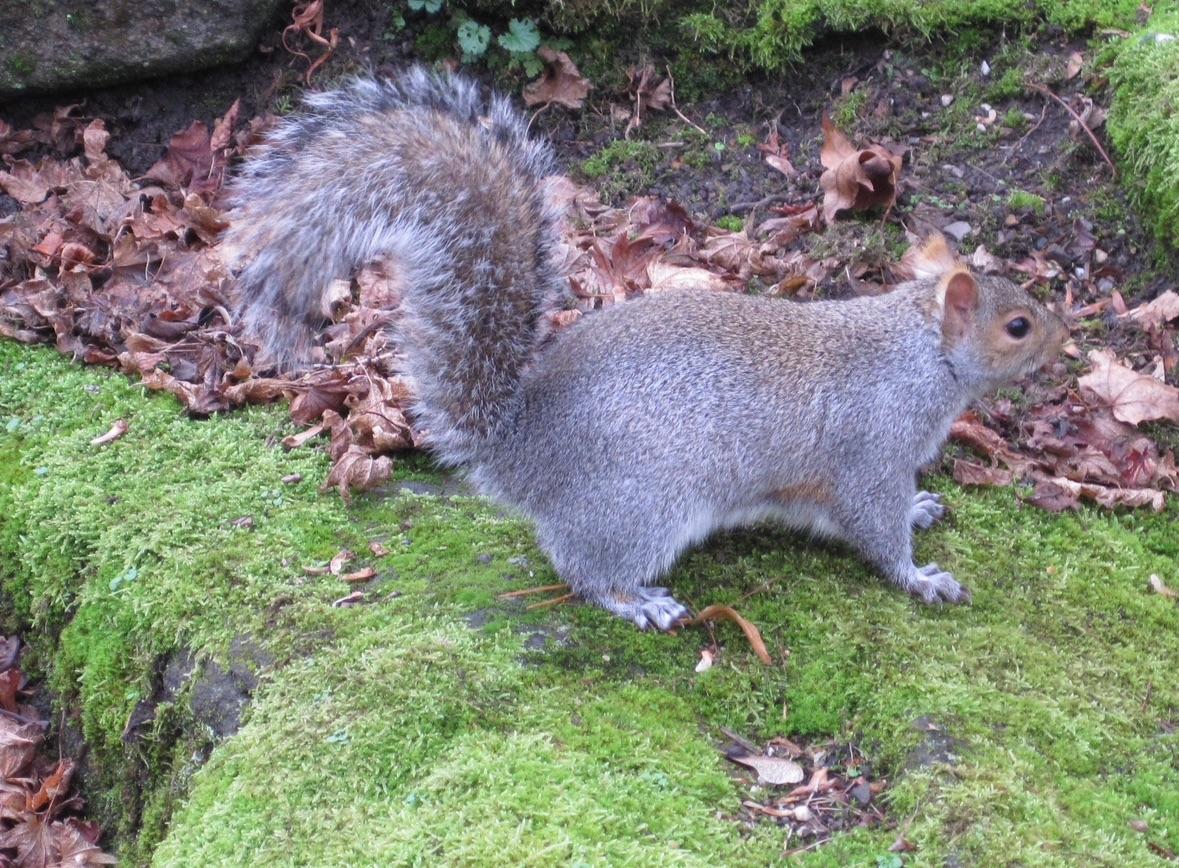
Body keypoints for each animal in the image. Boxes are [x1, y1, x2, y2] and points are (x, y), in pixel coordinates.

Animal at [228, 67, 1069, 630]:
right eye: (1017, 326)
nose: (1065, 341)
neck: (919, 354)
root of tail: (521, 447)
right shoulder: (869, 450)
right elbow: (872, 525)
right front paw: (920, 577)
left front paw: (922, 508)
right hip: (643, 504)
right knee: (582, 569)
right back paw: (638, 601)